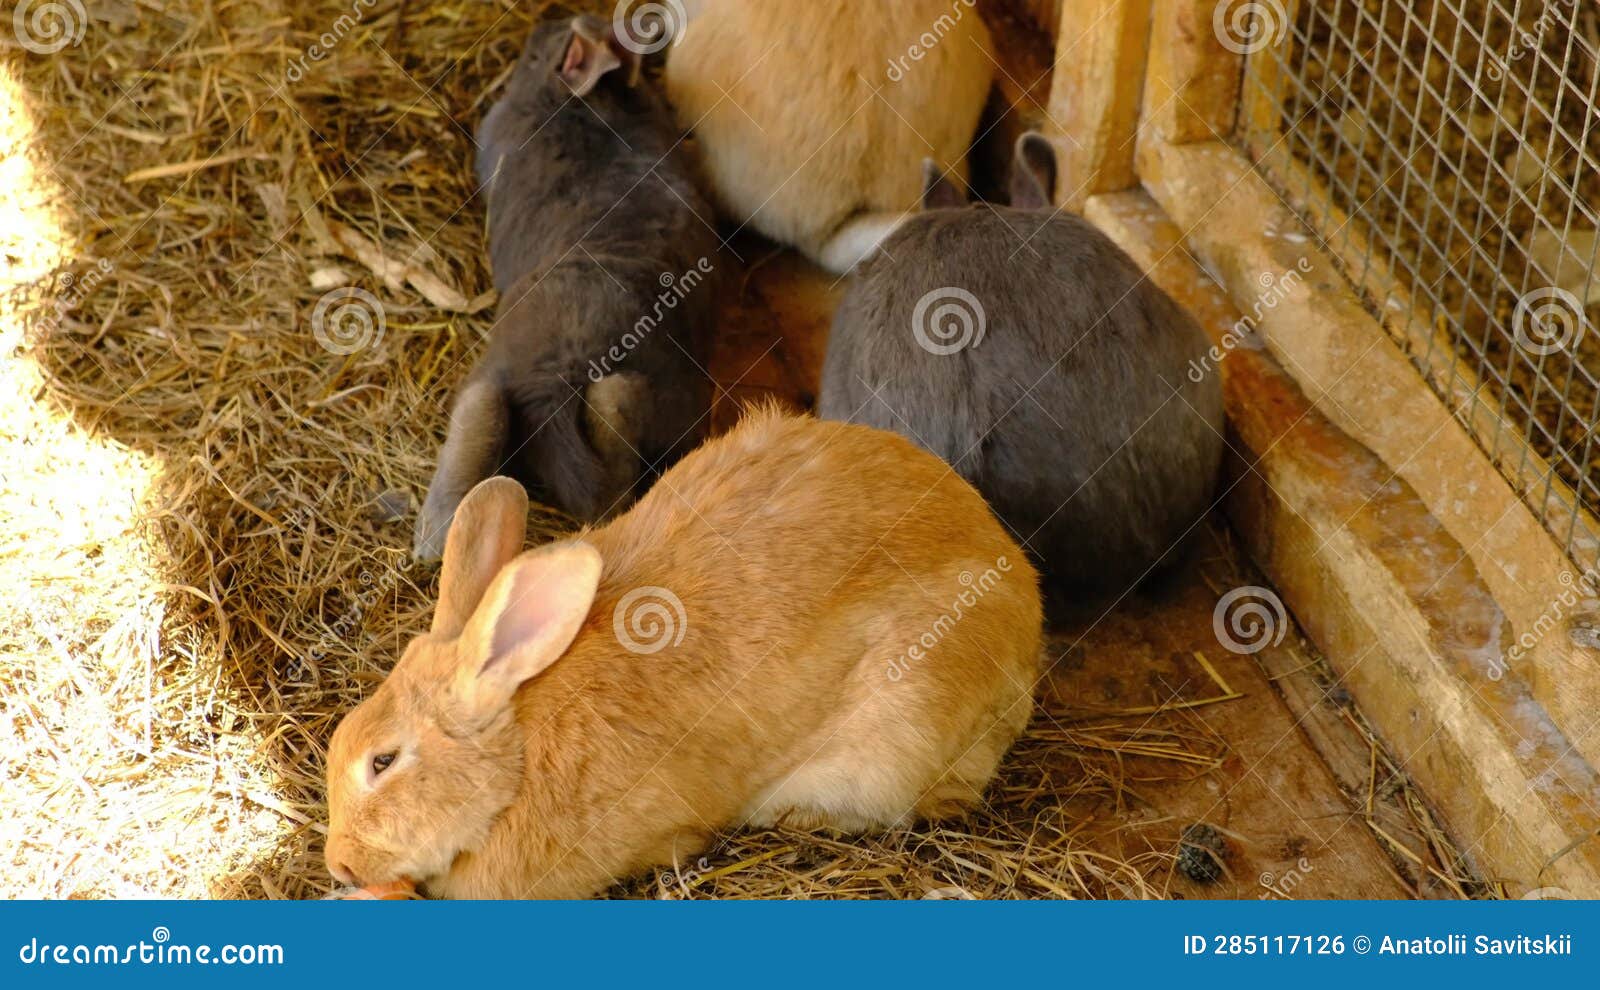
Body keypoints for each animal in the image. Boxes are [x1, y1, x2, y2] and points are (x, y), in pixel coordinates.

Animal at [414, 12, 723, 562]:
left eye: (540, 52)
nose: (546, 20)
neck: (588, 105)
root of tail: (566, 369)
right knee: (616, 432)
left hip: (497, 368)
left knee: (480, 413)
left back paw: (429, 543)